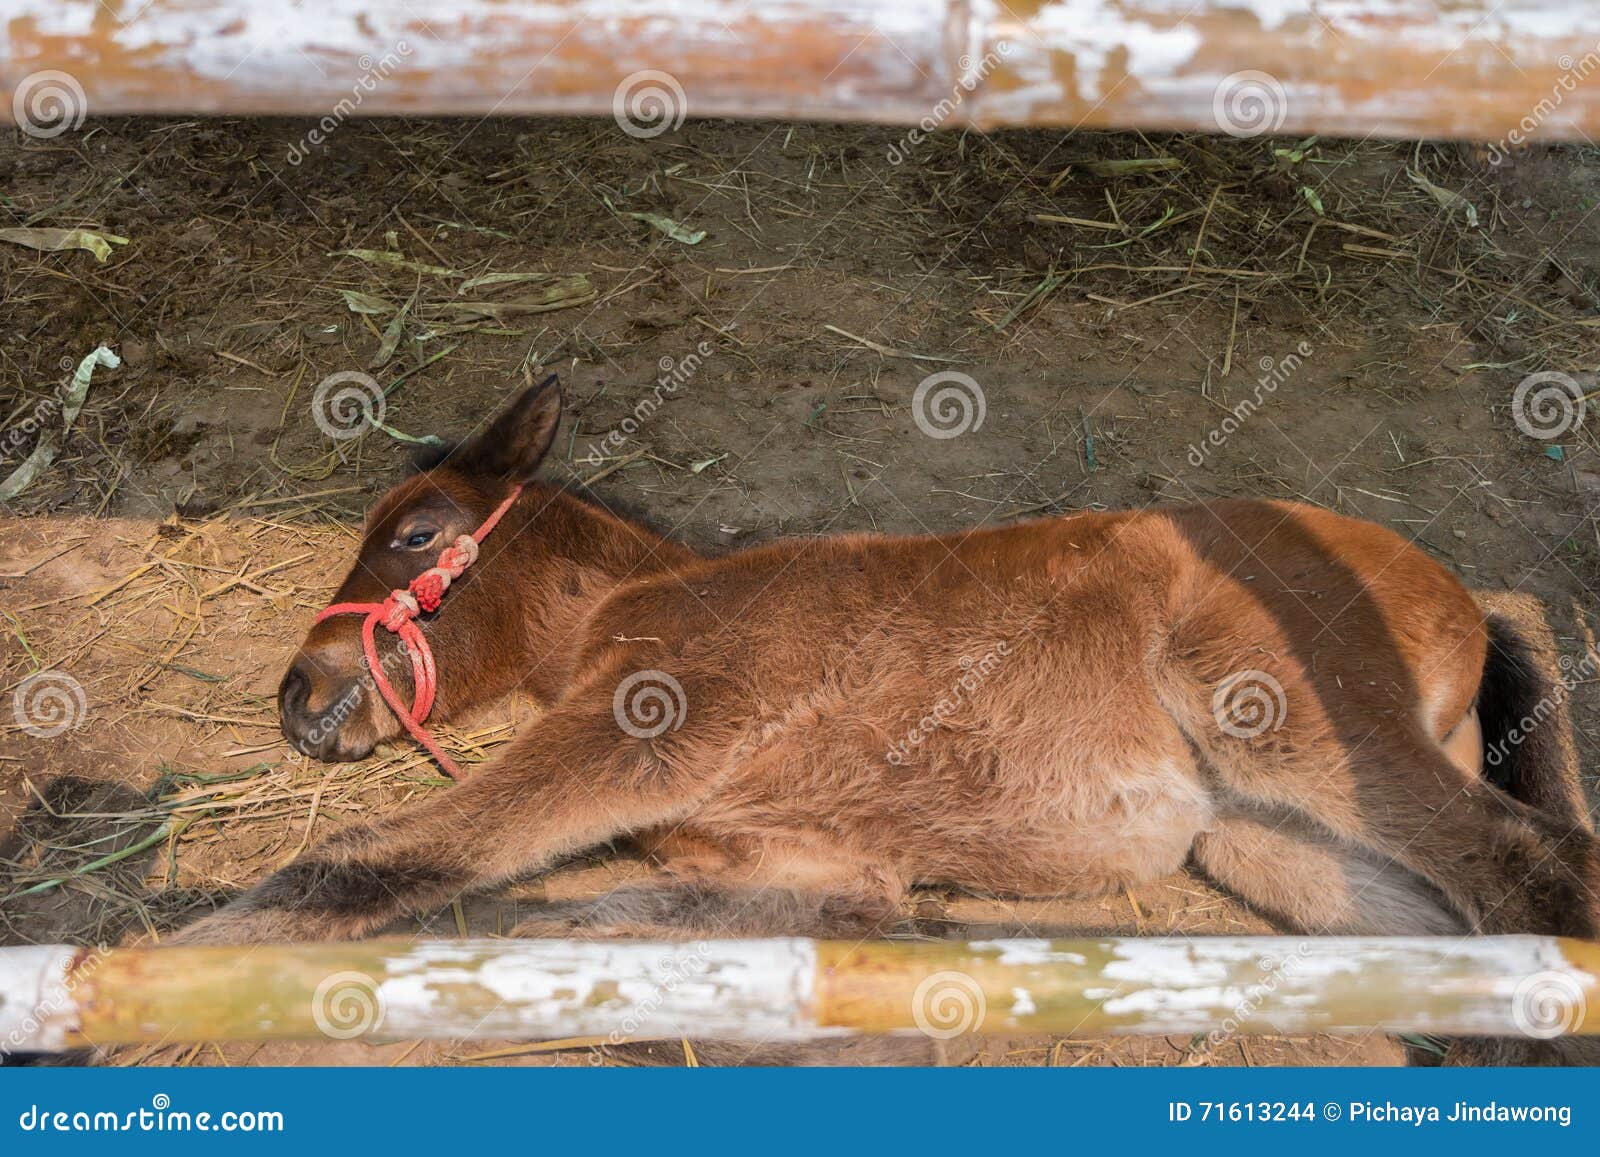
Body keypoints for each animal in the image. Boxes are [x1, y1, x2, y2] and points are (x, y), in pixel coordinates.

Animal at [171, 376, 1597, 1058]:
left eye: (416, 533)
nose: (297, 696)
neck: (627, 609)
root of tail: (1465, 602)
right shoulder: (810, 862)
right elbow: (592, 926)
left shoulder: (633, 734)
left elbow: (371, 863)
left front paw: (154, 985)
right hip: (1272, 841)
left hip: (1283, 719)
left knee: (1534, 860)